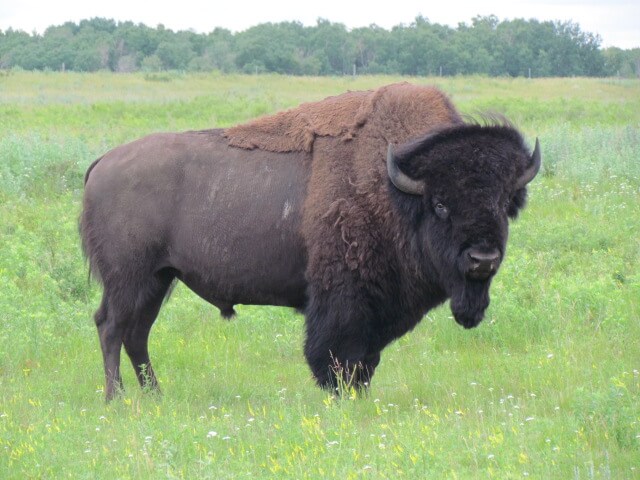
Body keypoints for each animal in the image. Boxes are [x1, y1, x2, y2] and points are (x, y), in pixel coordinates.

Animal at [81, 83, 540, 400]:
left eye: (504, 202)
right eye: (441, 204)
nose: (482, 258)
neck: (395, 188)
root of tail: (102, 163)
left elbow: (365, 360)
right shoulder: (343, 301)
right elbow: (339, 356)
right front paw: (341, 395)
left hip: (159, 278)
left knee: (136, 334)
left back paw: (155, 395)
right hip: (130, 278)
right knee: (111, 326)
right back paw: (116, 399)